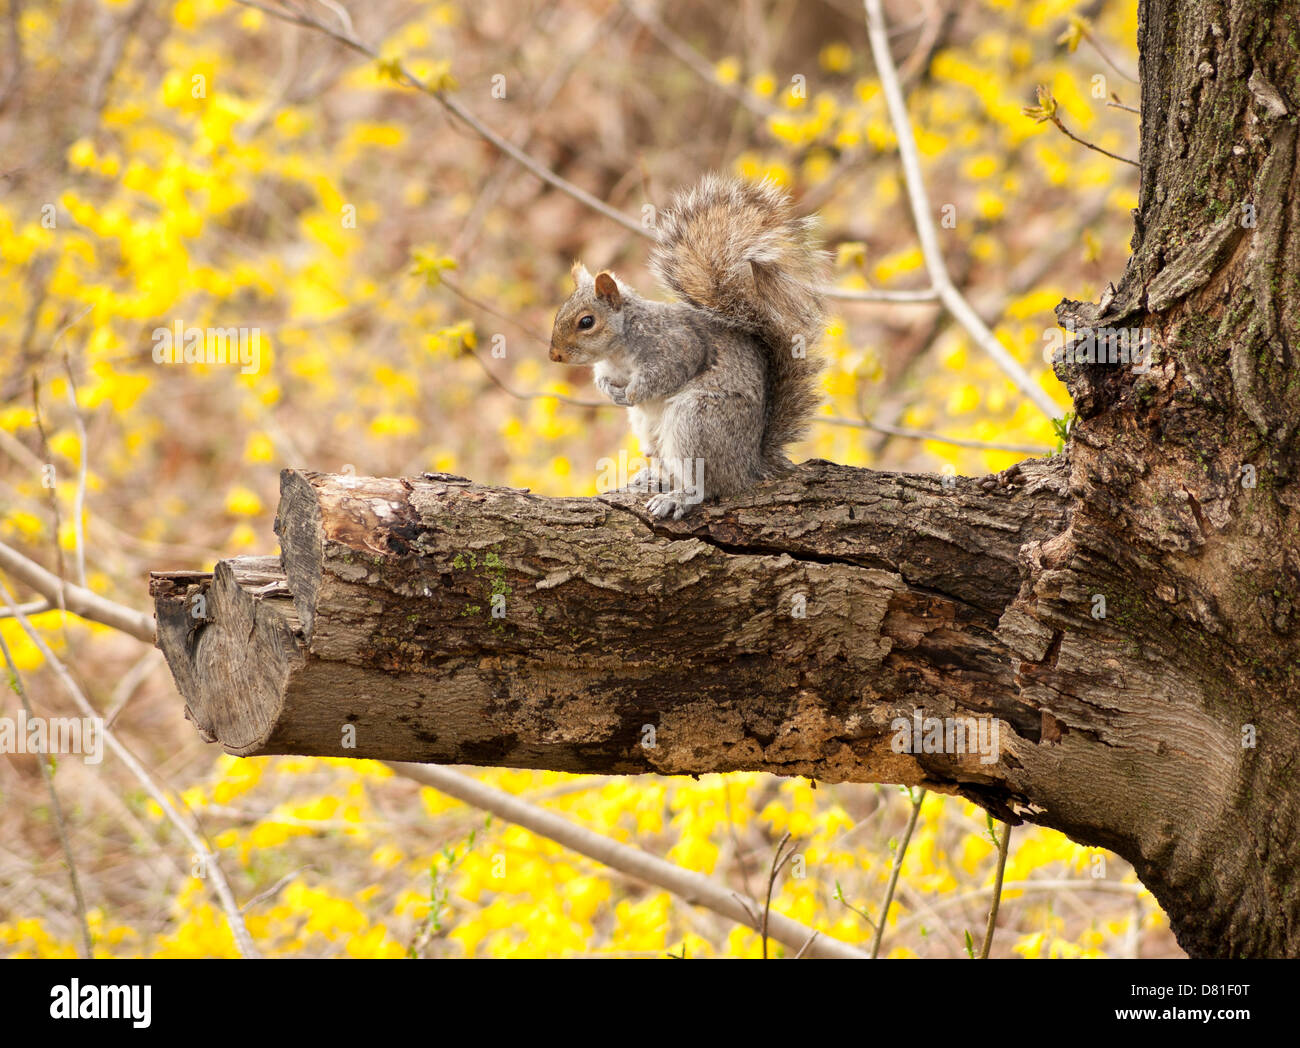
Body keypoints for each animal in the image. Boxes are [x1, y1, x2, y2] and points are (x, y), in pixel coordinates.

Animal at [548, 174, 827, 519]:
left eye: (586, 322)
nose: (554, 354)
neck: (617, 351)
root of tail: (748, 468)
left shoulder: (678, 346)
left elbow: (665, 374)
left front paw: (633, 393)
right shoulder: (607, 366)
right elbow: (601, 379)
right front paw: (611, 392)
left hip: (697, 422)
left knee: (706, 486)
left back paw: (678, 498)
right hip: (652, 435)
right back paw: (653, 480)